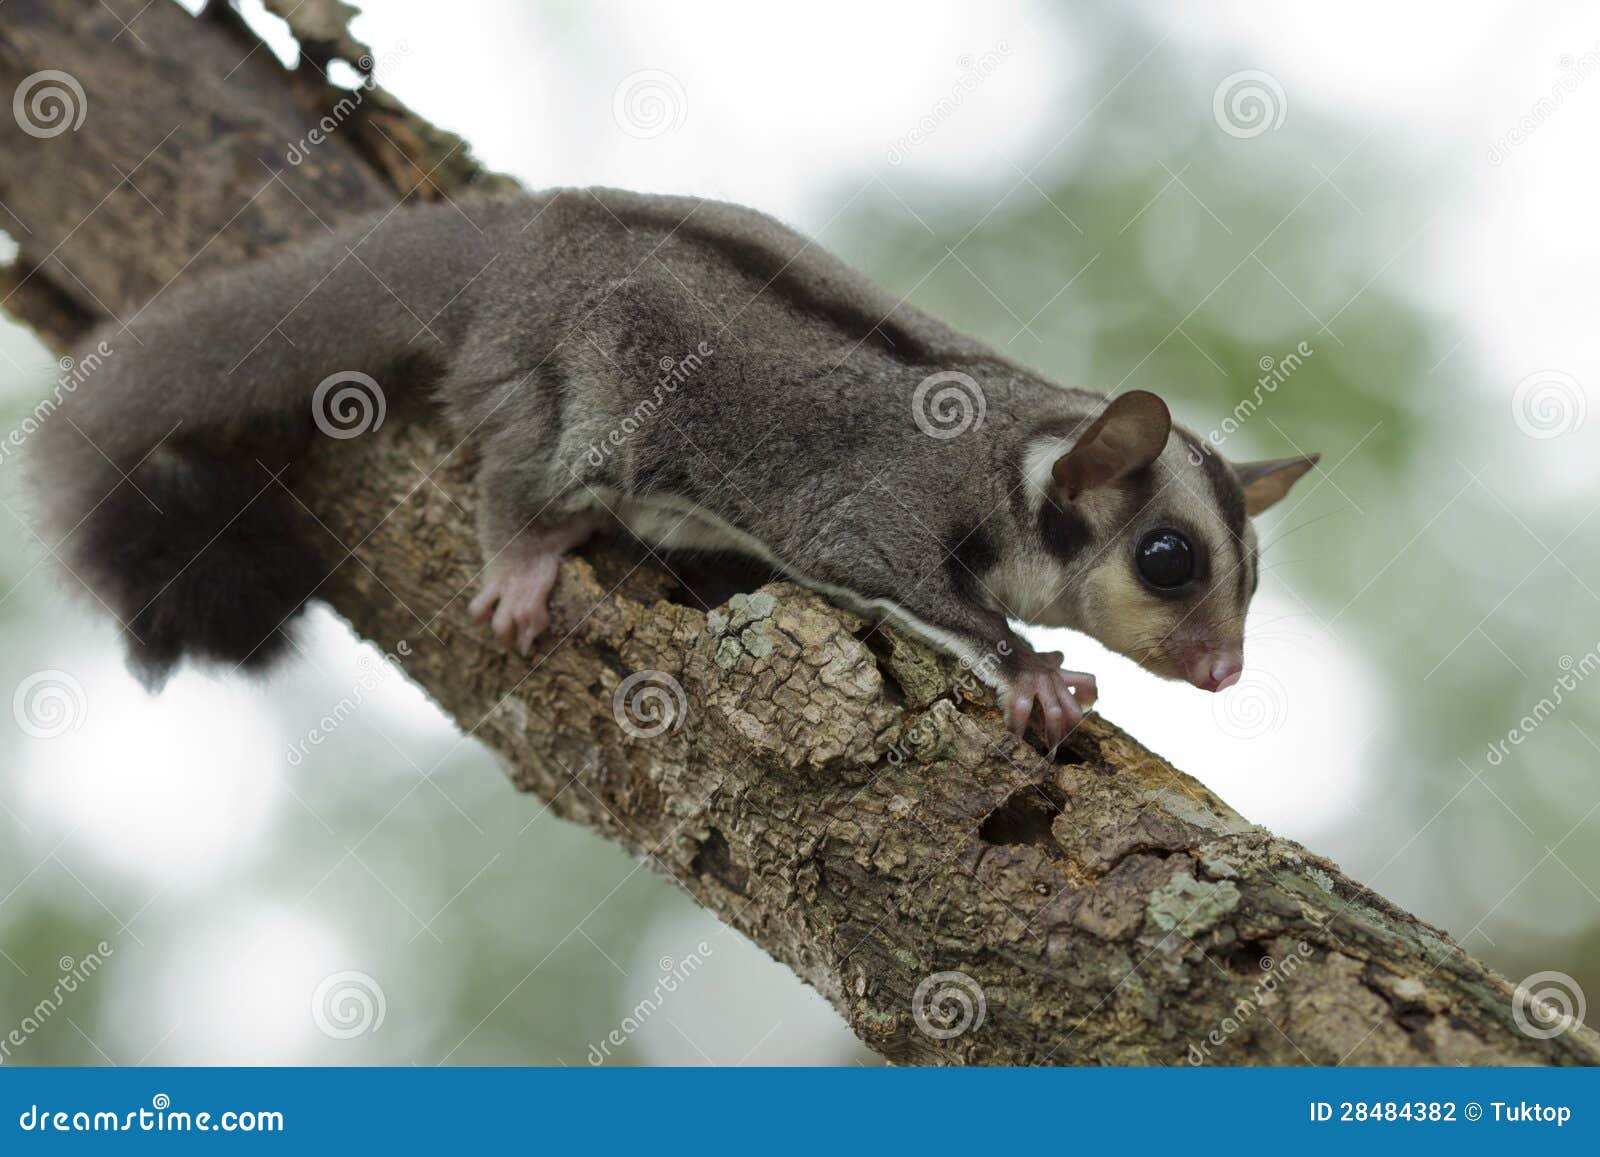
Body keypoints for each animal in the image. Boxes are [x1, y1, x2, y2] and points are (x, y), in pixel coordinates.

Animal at [32, 188, 1317, 746]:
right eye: (1166, 559)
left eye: (1251, 580)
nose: (1224, 672)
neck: (1013, 457)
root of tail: (521, 239)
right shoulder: (887, 508)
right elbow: (898, 578)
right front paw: (1030, 670)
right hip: (568, 382)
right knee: (528, 468)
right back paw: (525, 554)